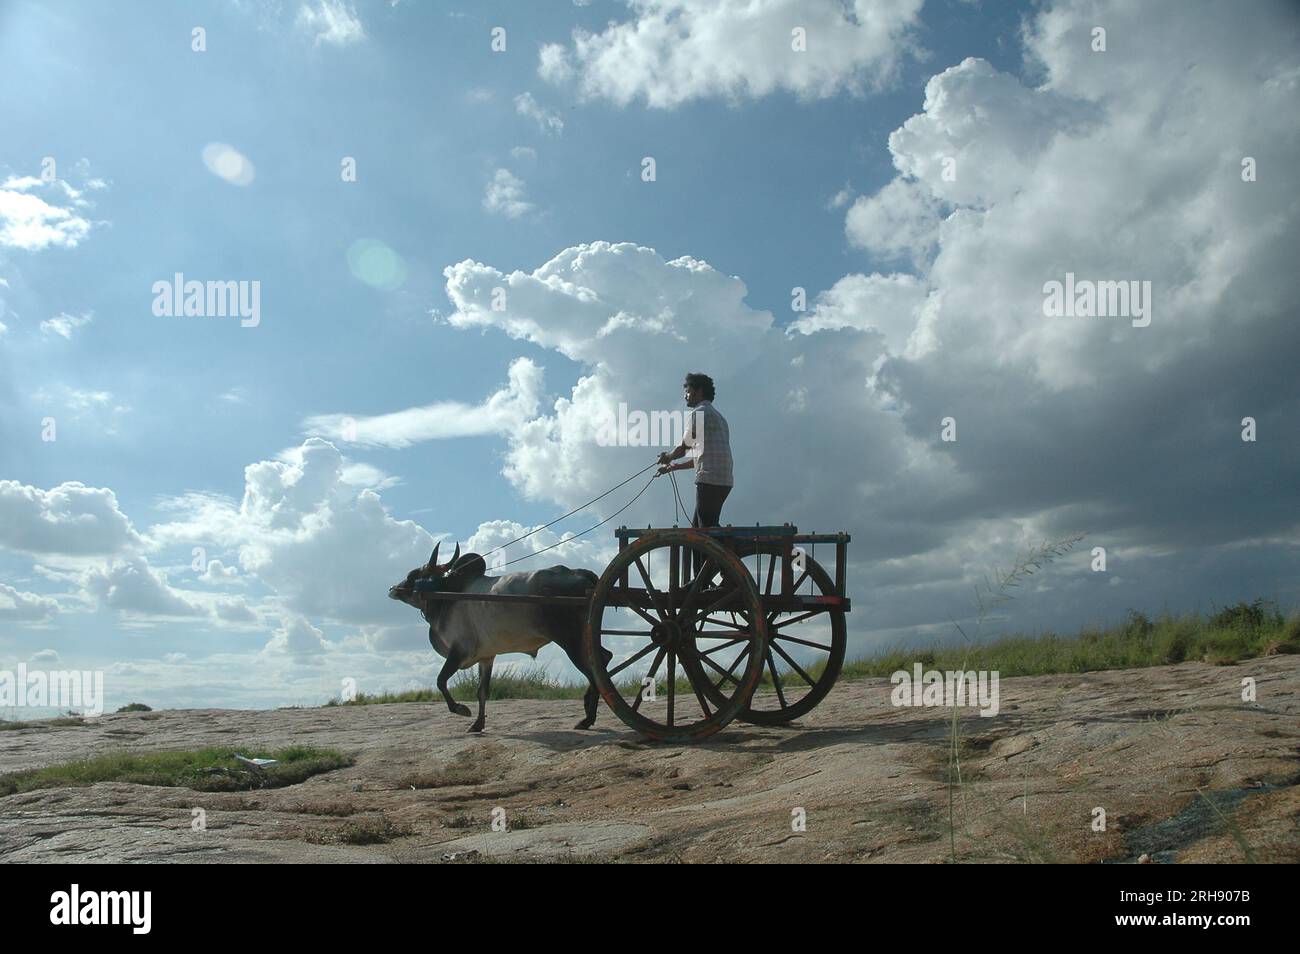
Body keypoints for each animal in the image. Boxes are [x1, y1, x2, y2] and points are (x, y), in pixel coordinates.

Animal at [388, 542, 610, 733]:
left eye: (412, 575)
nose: (392, 589)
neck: (445, 595)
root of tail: (581, 573)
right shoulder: (486, 657)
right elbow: (482, 691)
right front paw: (478, 724)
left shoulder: (459, 651)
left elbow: (441, 681)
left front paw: (461, 710)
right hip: (583, 637)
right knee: (604, 658)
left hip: (570, 639)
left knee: (594, 673)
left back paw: (587, 719)